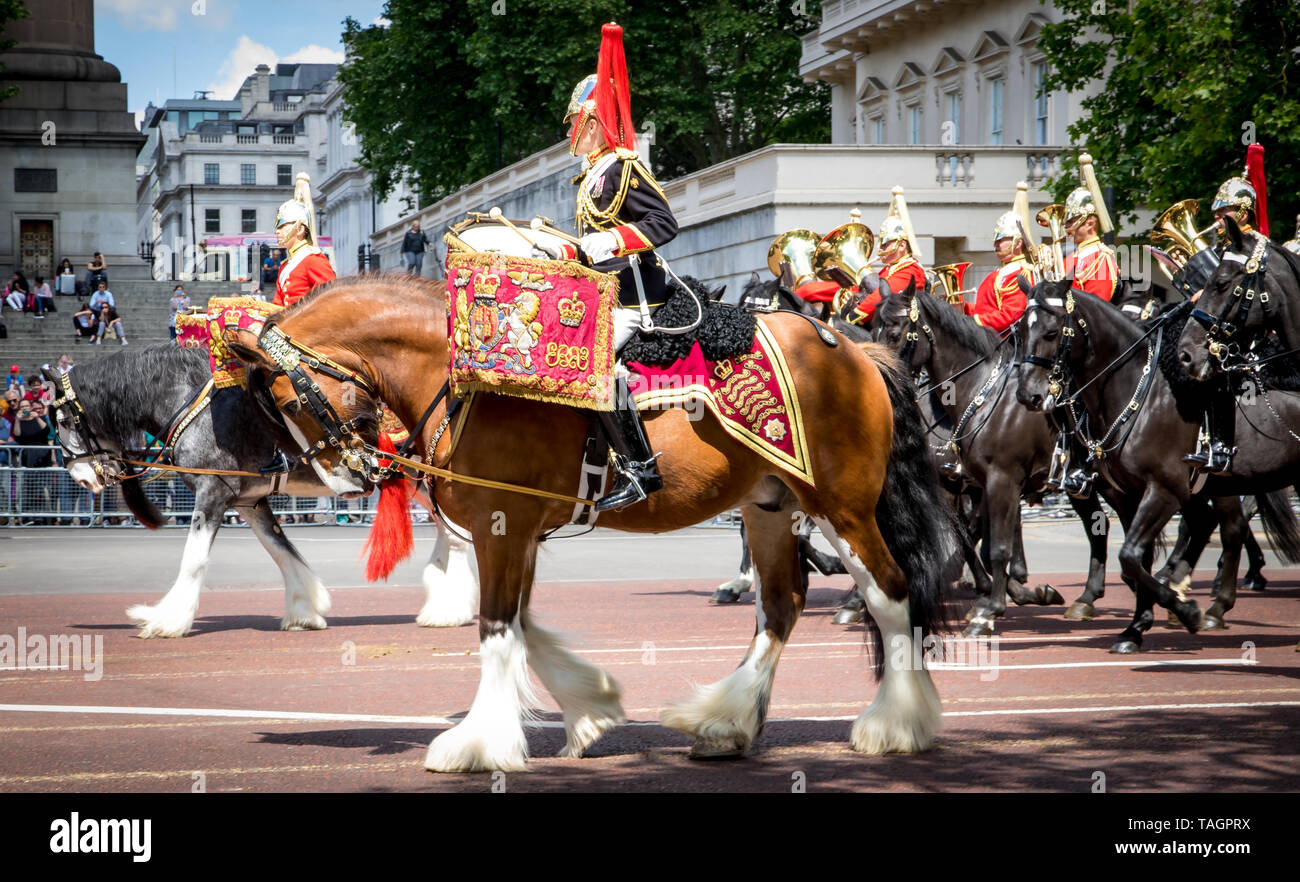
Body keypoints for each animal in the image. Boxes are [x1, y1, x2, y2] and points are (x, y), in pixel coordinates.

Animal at [44, 345, 478, 638]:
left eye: (62, 420)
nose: (81, 477)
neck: (193, 406)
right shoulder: (250, 502)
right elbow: (281, 552)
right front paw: (305, 608)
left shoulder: (212, 494)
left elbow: (193, 560)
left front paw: (168, 619)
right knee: (451, 535)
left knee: (456, 537)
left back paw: (450, 608)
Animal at [228, 273, 956, 772]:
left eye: (287, 399)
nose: (343, 476)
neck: (466, 377)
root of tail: (855, 349)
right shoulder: (517, 532)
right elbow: (520, 623)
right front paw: (590, 709)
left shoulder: (502, 525)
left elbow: (498, 628)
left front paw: (478, 743)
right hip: (770, 506)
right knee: (781, 606)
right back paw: (727, 723)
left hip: (843, 508)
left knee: (889, 594)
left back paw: (895, 724)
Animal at [1016, 276, 1300, 651]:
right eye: (1021, 329)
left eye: (1051, 332)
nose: (1027, 395)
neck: (1139, 394)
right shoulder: (1128, 496)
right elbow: (1137, 559)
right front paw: (1137, 626)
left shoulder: (1164, 489)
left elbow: (1130, 556)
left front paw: (1184, 611)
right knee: (1224, 526)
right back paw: (1208, 600)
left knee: (1224, 527)